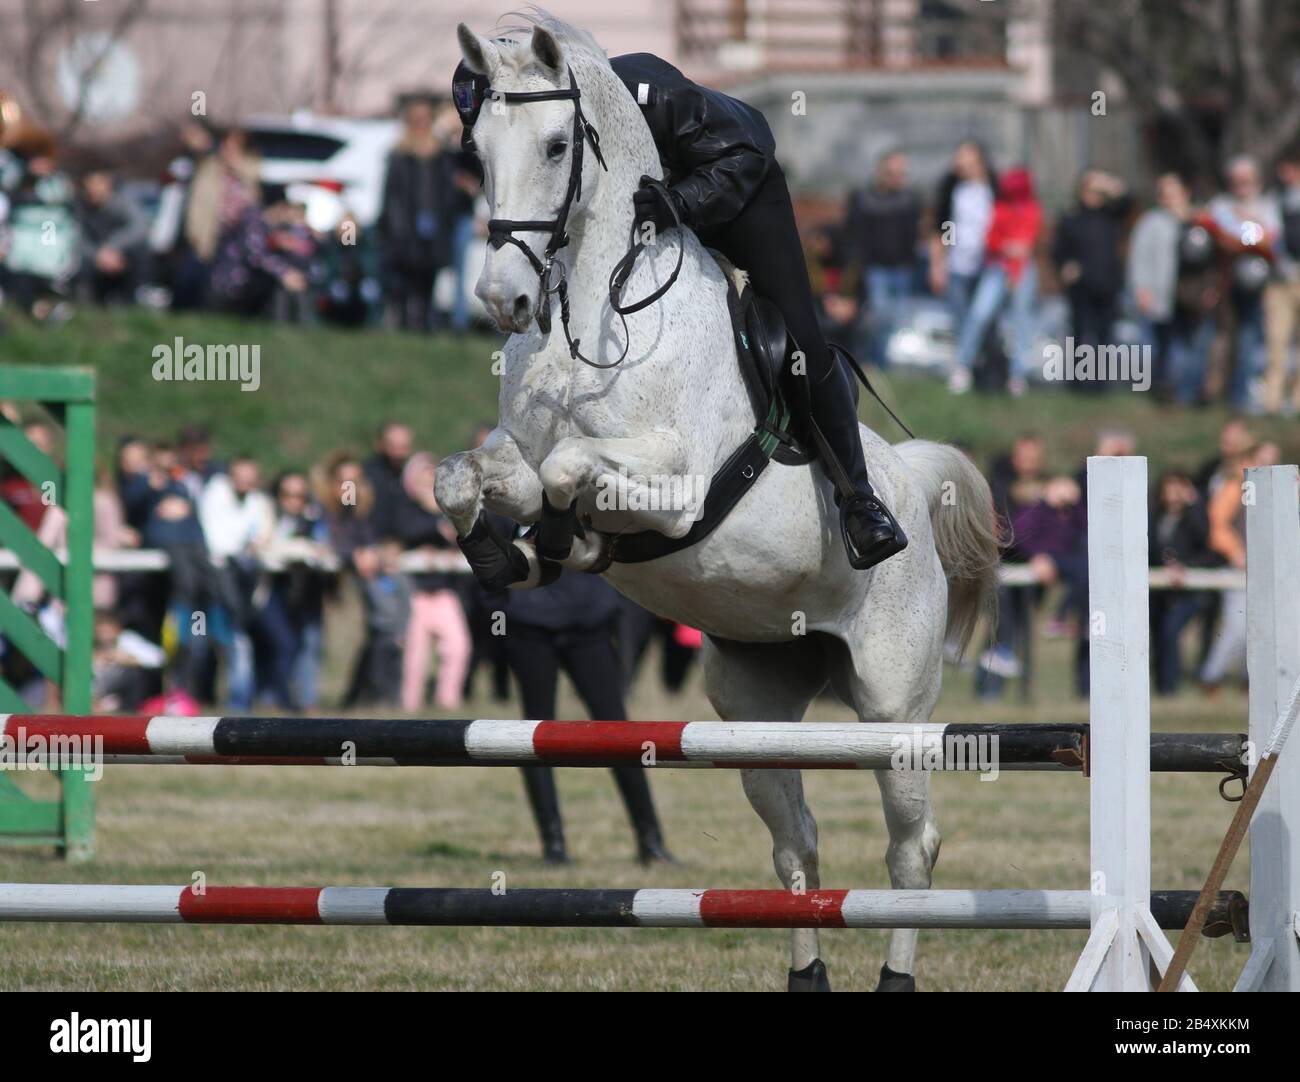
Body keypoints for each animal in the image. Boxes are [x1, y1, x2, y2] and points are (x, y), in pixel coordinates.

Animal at [435, 12, 1001, 991]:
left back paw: (894, 973)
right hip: (754, 708)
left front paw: (569, 540)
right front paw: (510, 551)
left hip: (893, 712)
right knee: (796, 842)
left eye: (555, 146)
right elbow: (467, 477)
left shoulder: (677, 487)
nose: (503, 300)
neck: (595, 307)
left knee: (911, 848)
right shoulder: (513, 449)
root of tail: (910, 484)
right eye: (476, 149)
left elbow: (570, 472)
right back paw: (808, 974)